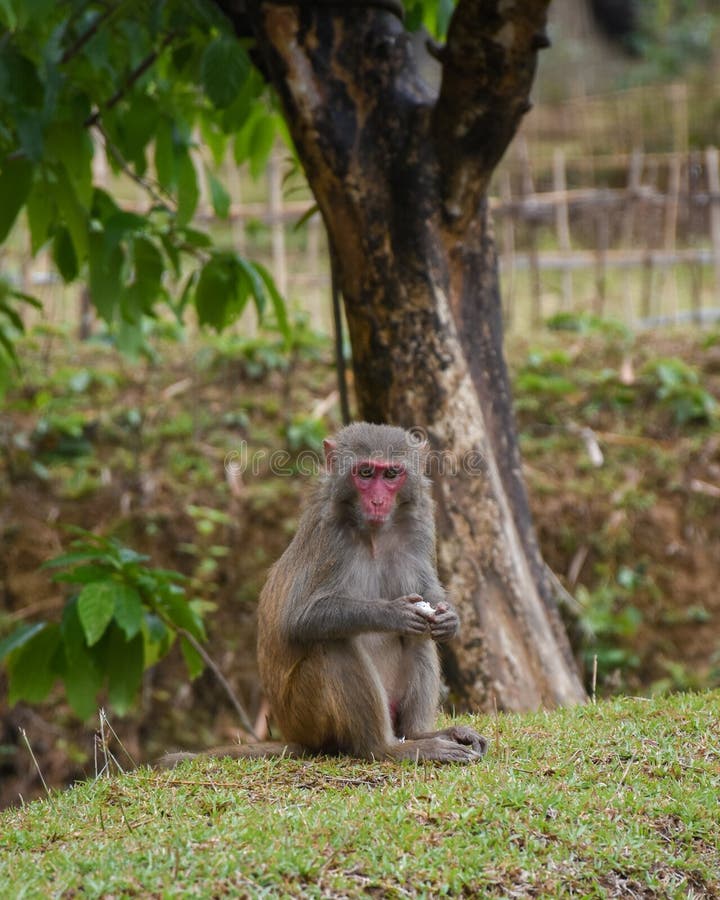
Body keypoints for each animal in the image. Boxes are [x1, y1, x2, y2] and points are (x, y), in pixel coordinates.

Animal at [160, 423, 487, 767]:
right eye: (365, 473)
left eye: (391, 474)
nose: (378, 502)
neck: (374, 535)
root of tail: (295, 736)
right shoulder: (329, 536)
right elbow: (300, 619)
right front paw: (393, 613)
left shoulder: (419, 524)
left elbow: (426, 594)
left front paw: (449, 619)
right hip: (308, 718)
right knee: (333, 644)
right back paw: (386, 748)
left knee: (418, 637)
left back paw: (419, 734)